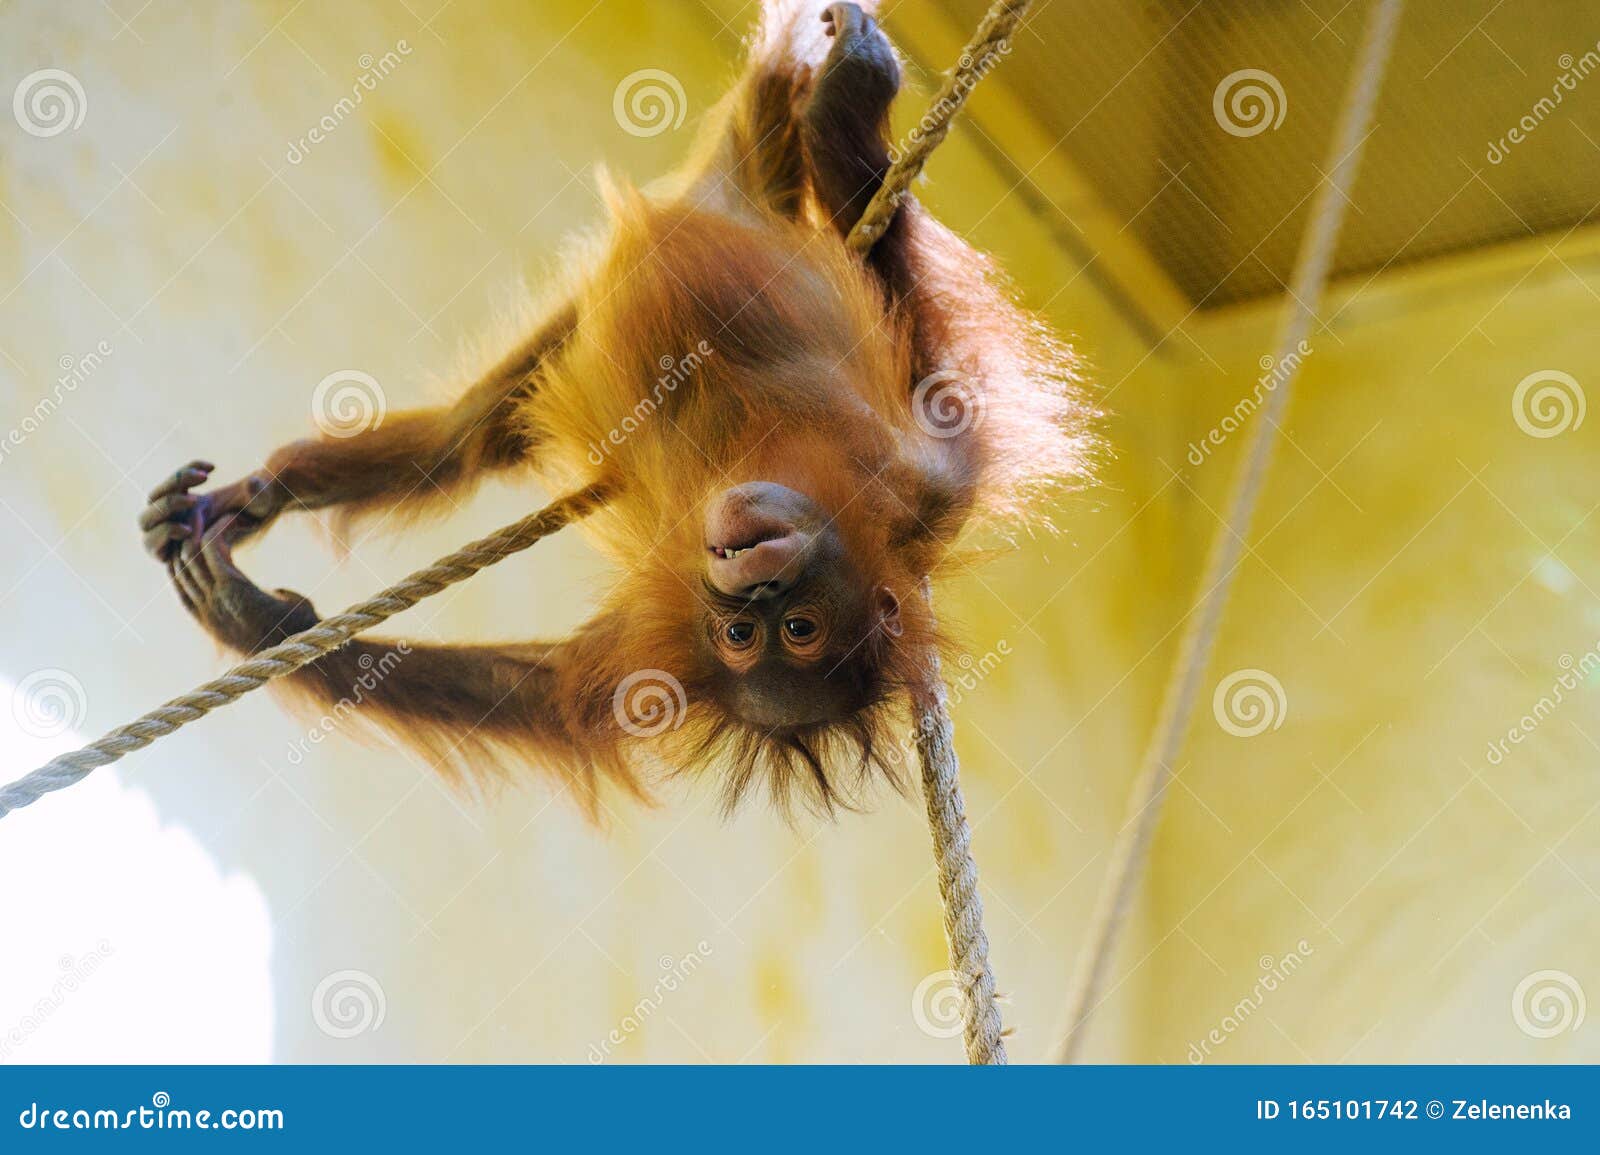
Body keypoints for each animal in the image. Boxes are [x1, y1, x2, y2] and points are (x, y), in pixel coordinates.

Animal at [138, 1, 1090, 819]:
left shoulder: (686, 632)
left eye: (793, 631)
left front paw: (257, 621)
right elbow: (942, 384)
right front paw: (850, 108)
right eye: (749, 630)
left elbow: (540, 692)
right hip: (723, 202)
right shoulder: (929, 488)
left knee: (467, 437)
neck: (776, 469)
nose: (756, 580)